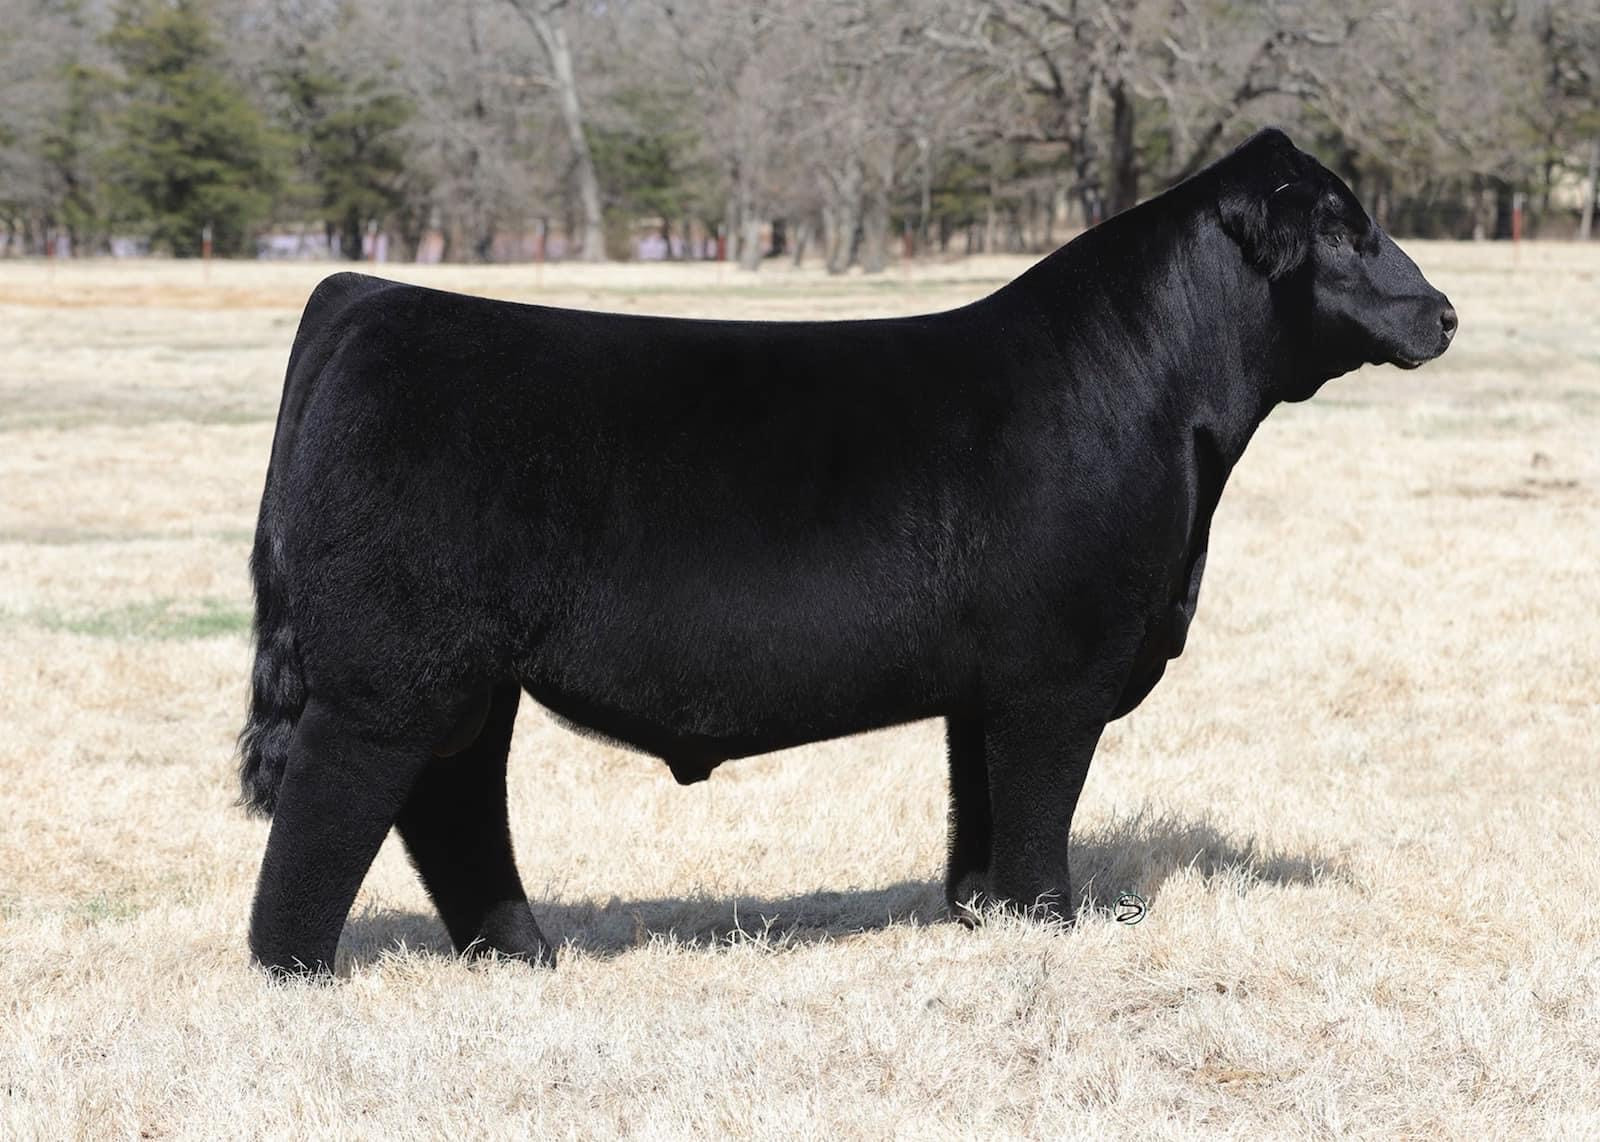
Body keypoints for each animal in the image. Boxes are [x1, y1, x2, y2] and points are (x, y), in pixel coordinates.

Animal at [238, 128, 1456, 976]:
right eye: (1342, 228)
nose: (1442, 312)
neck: (1154, 403)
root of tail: (370, 296)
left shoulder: (987, 681)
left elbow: (981, 805)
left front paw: (980, 913)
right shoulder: (1061, 671)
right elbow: (1041, 805)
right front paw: (1051, 920)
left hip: (468, 679)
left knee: (452, 803)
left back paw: (522, 953)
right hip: (392, 674)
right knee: (337, 796)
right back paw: (296, 971)